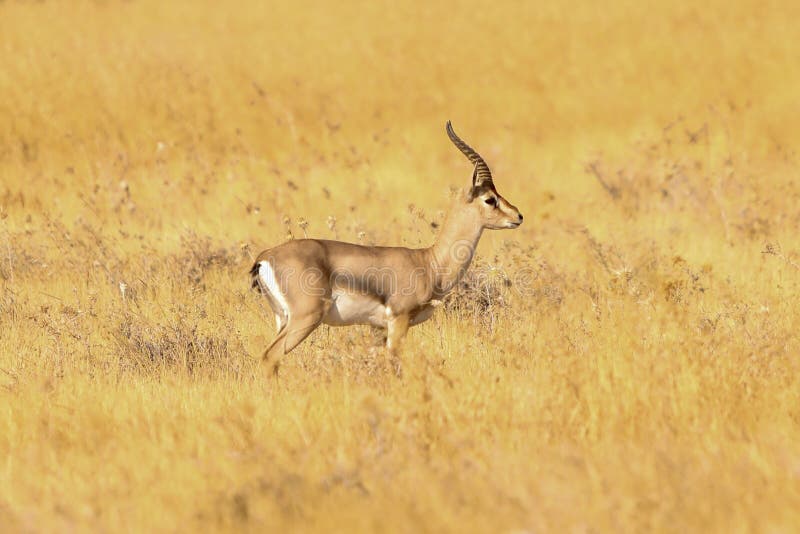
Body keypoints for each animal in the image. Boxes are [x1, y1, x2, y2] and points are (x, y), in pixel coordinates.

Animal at [250, 121, 522, 375]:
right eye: (490, 199)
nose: (518, 216)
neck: (429, 263)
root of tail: (265, 257)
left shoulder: (378, 327)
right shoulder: (398, 320)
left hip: (282, 318)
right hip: (305, 318)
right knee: (269, 356)